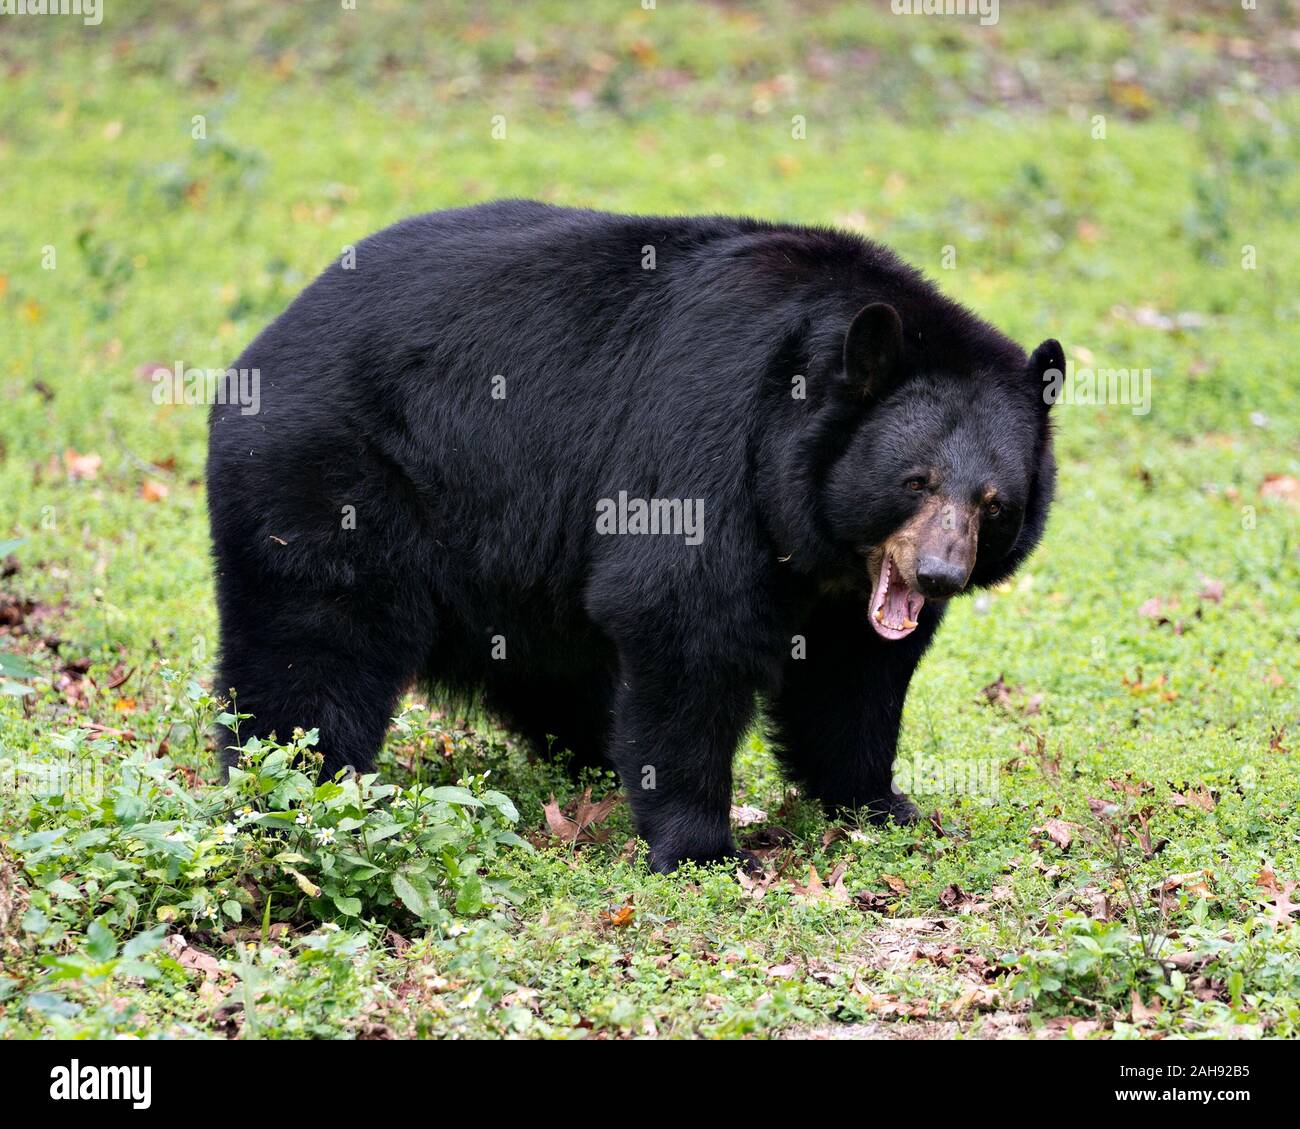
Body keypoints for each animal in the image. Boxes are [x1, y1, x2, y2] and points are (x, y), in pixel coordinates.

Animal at [207, 200, 1061, 872]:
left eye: (993, 504)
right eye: (915, 481)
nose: (939, 574)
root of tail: (257, 351)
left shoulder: (844, 585)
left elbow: (854, 673)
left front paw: (880, 803)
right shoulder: (714, 437)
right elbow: (682, 615)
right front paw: (704, 847)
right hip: (337, 471)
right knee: (316, 642)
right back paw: (299, 787)